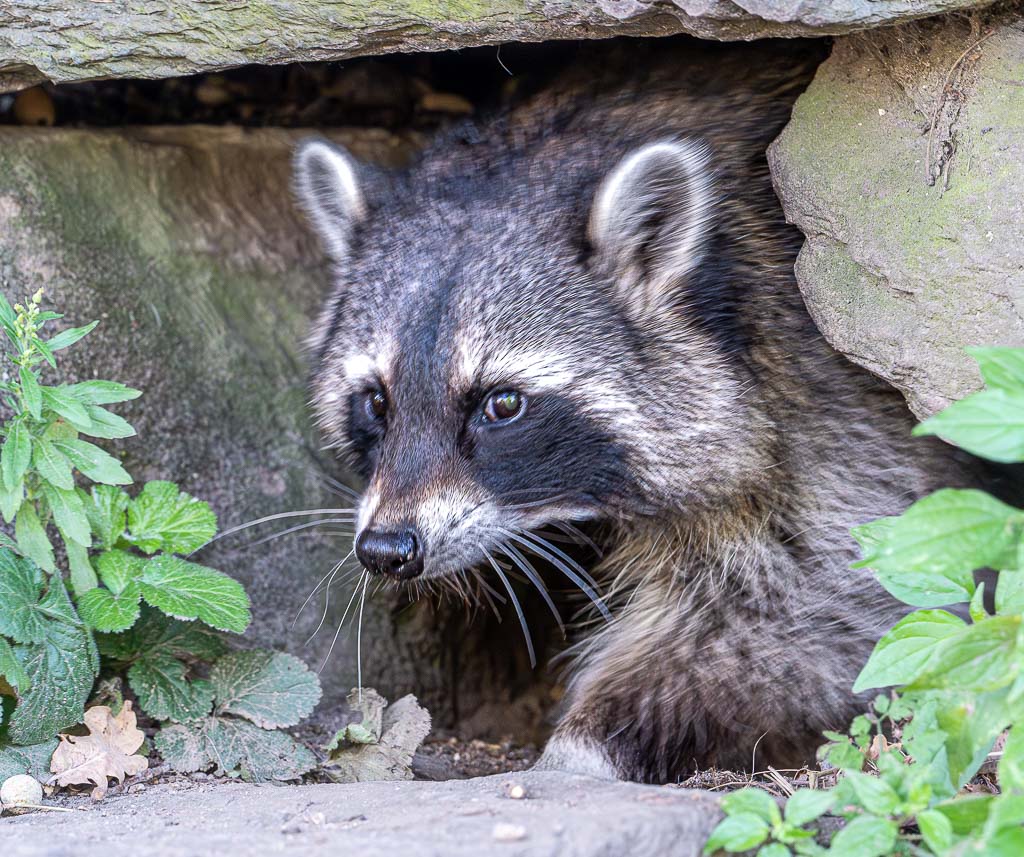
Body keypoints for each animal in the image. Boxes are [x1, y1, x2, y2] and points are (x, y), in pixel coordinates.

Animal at [293, 42, 978, 784]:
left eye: (502, 404)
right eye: (376, 400)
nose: (388, 549)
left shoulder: (821, 388)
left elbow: (829, 603)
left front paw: (589, 739)